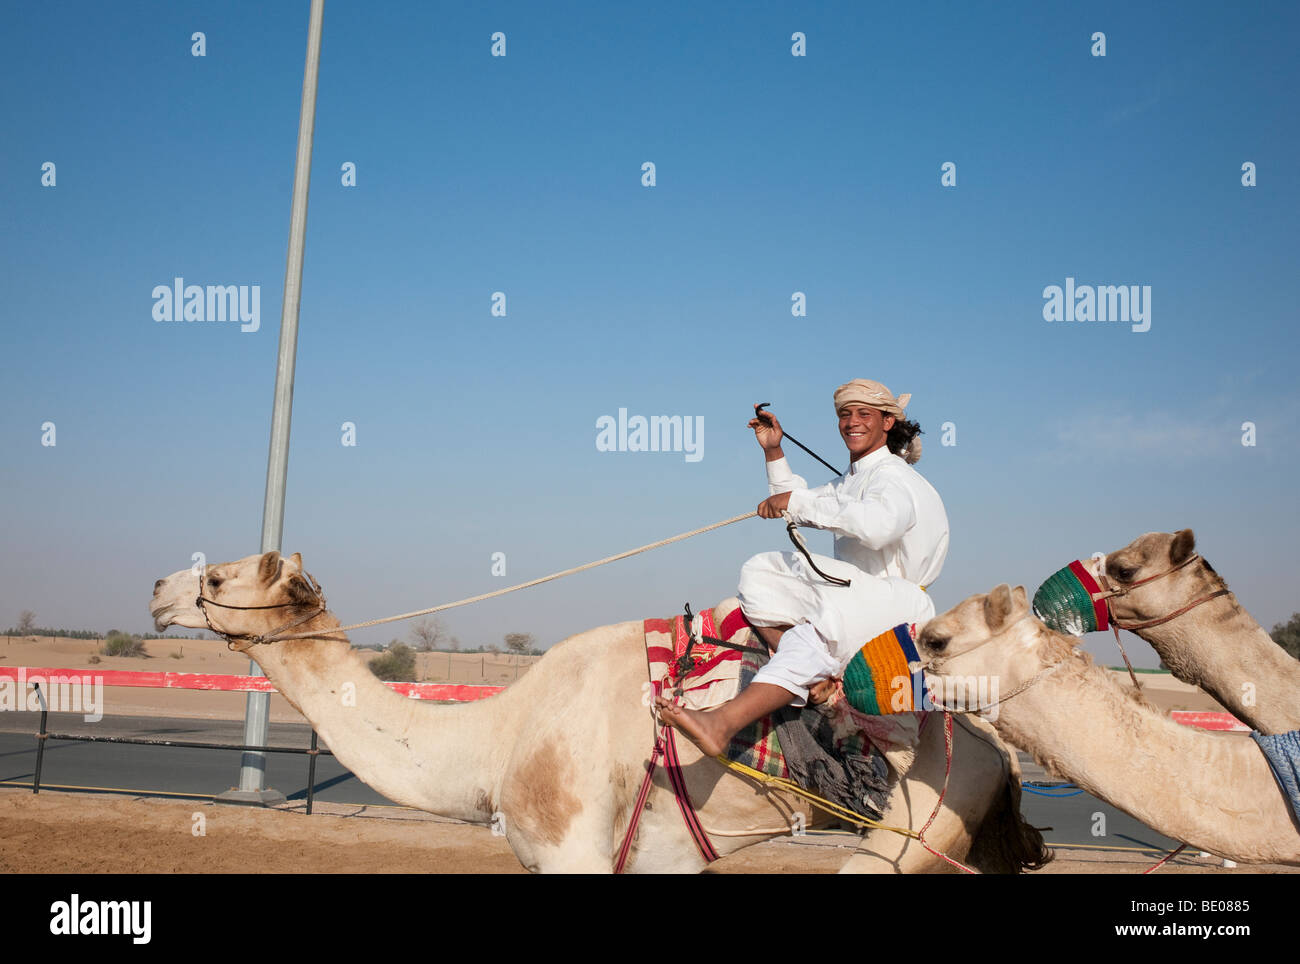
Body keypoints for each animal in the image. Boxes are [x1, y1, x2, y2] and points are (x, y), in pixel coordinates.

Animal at [149, 551, 1050, 873]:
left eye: (221, 577)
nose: (159, 589)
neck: (501, 740)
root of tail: (997, 752)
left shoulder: (572, 846)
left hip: (919, 820)